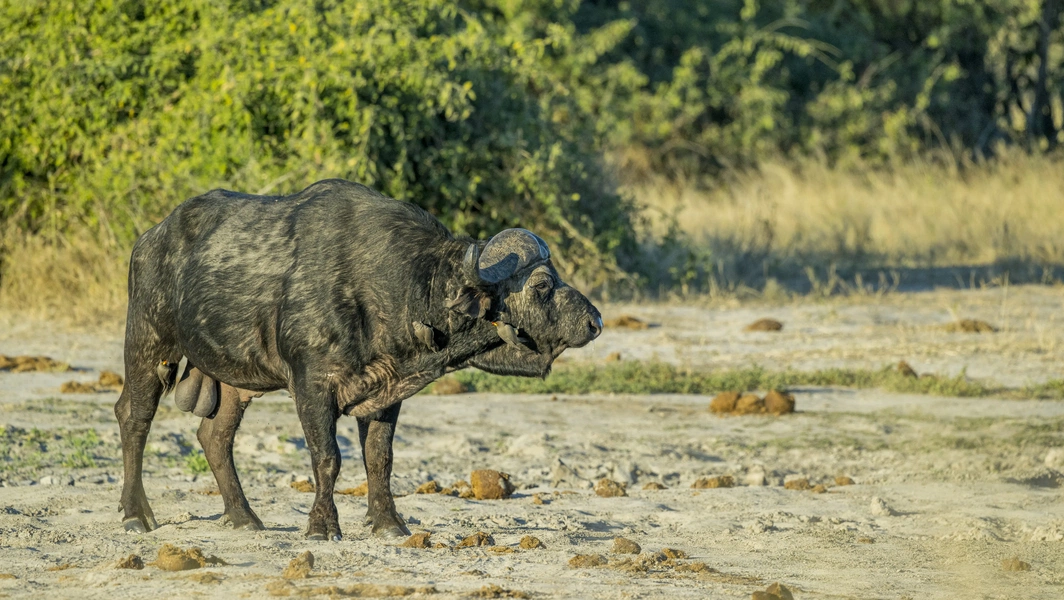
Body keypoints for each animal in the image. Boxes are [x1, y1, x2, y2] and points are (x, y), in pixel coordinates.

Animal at [115, 179, 602, 540]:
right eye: (541, 285)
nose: (595, 321)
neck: (394, 286)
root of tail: (149, 239)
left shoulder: (388, 392)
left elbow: (379, 458)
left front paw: (389, 523)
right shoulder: (312, 387)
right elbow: (327, 457)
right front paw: (322, 526)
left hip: (236, 380)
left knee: (214, 436)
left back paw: (243, 517)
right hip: (148, 343)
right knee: (133, 416)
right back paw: (136, 514)